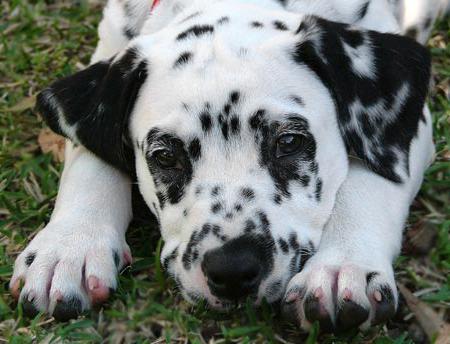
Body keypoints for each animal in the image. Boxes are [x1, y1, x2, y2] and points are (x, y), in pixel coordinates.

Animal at [9, 0, 440, 334]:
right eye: (165, 156)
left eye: (288, 142)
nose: (233, 270)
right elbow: (89, 153)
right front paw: (69, 246)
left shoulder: (409, 122)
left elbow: (372, 175)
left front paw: (341, 266)